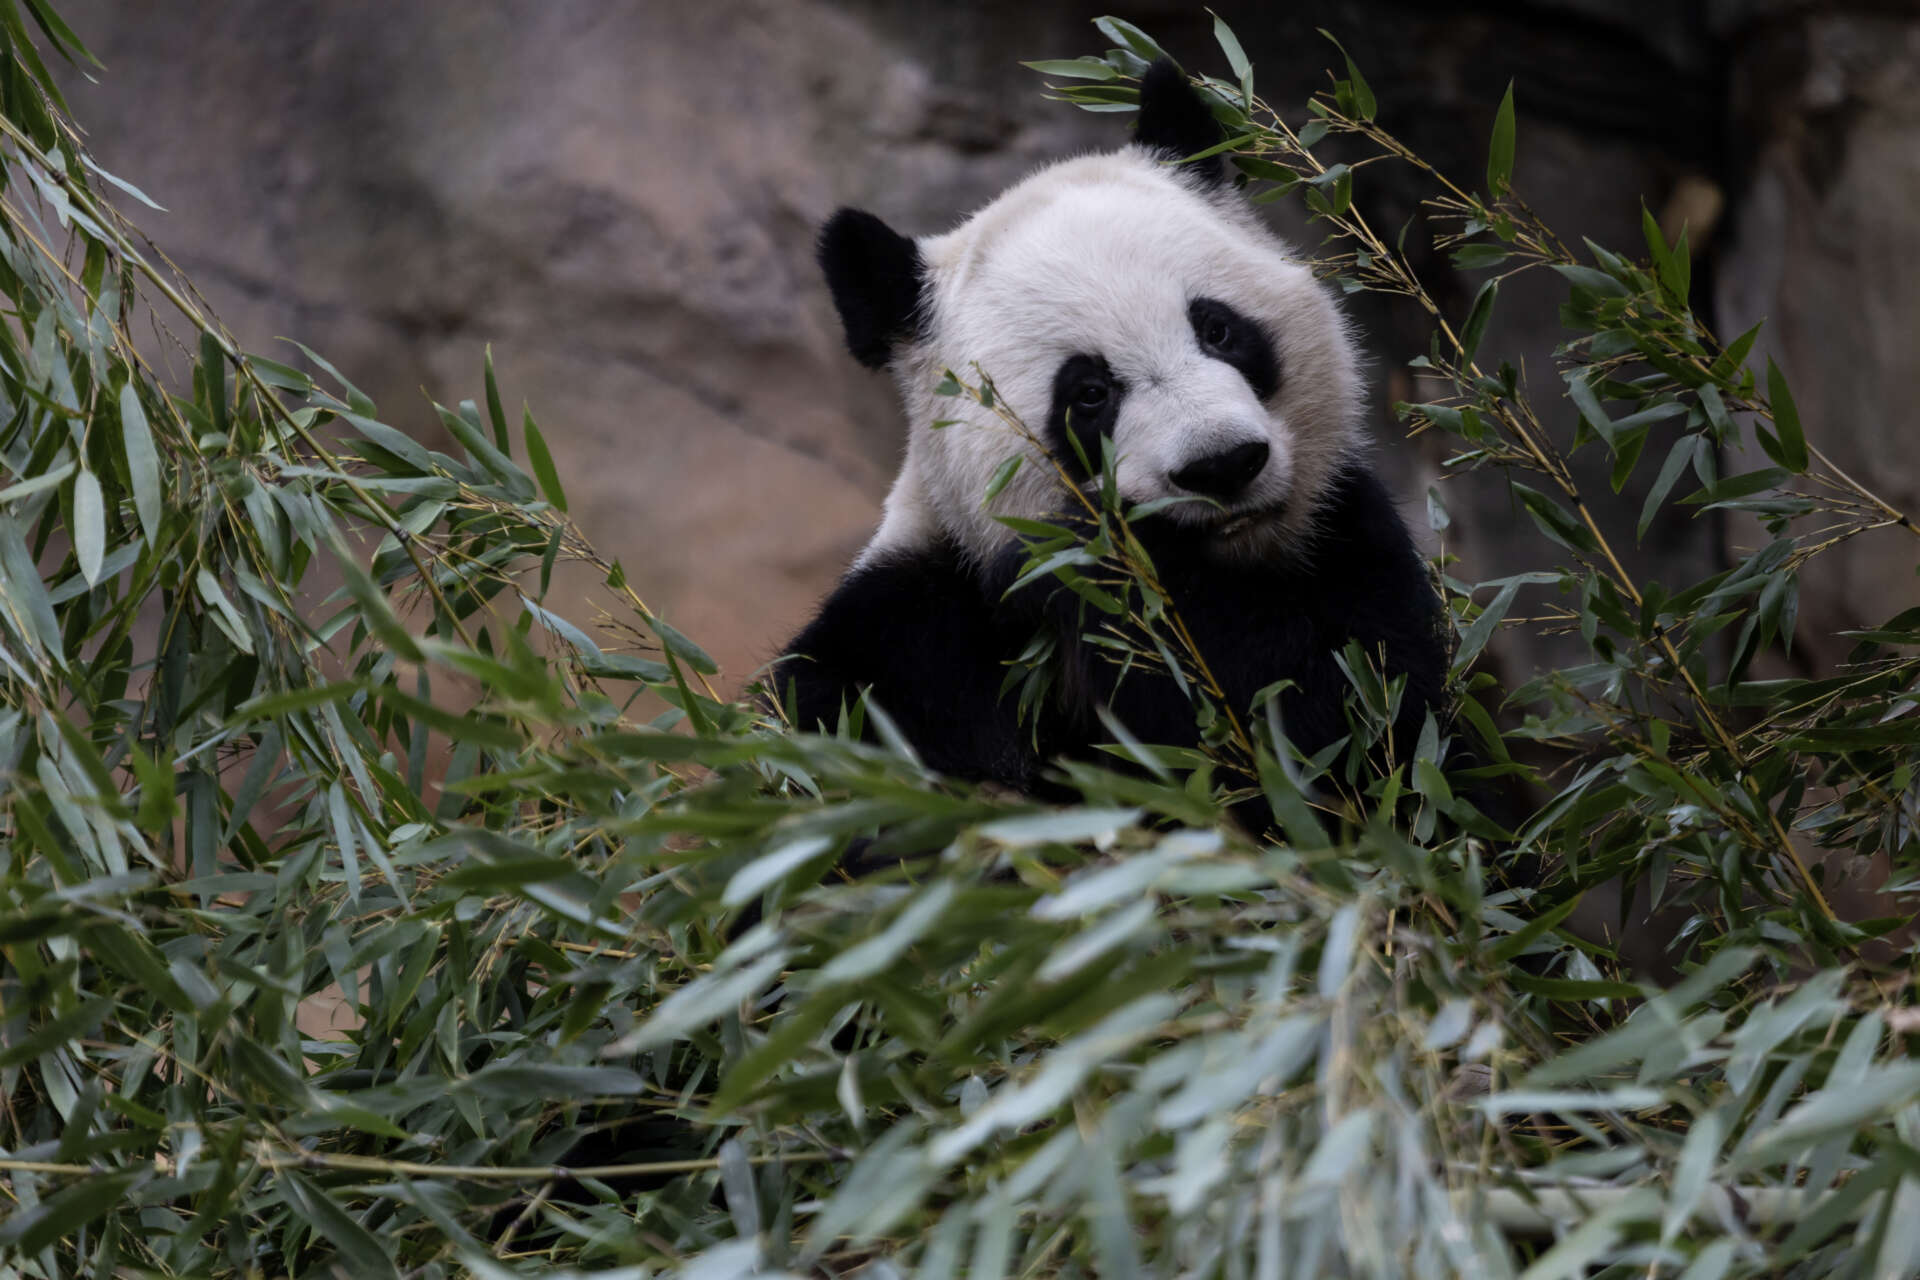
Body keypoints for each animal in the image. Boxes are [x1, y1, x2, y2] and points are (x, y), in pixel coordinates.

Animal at [776, 60, 1448, 798]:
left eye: (1217, 330)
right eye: (1089, 393)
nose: (1222, 465)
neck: (1224, 560)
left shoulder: (1350, 545)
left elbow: (1351, 725)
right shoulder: (906, 640)